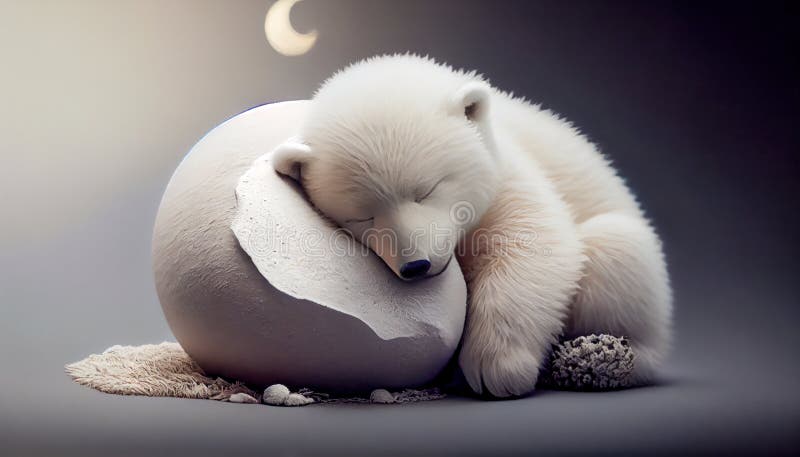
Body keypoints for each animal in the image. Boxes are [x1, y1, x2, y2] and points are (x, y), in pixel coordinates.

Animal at [271, 54, 672, 398]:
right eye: (361, 216)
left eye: (426, 190)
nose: (416, 265)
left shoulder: (507, 173)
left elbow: (536, 240)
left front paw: (497, 368)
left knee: (616, 246)